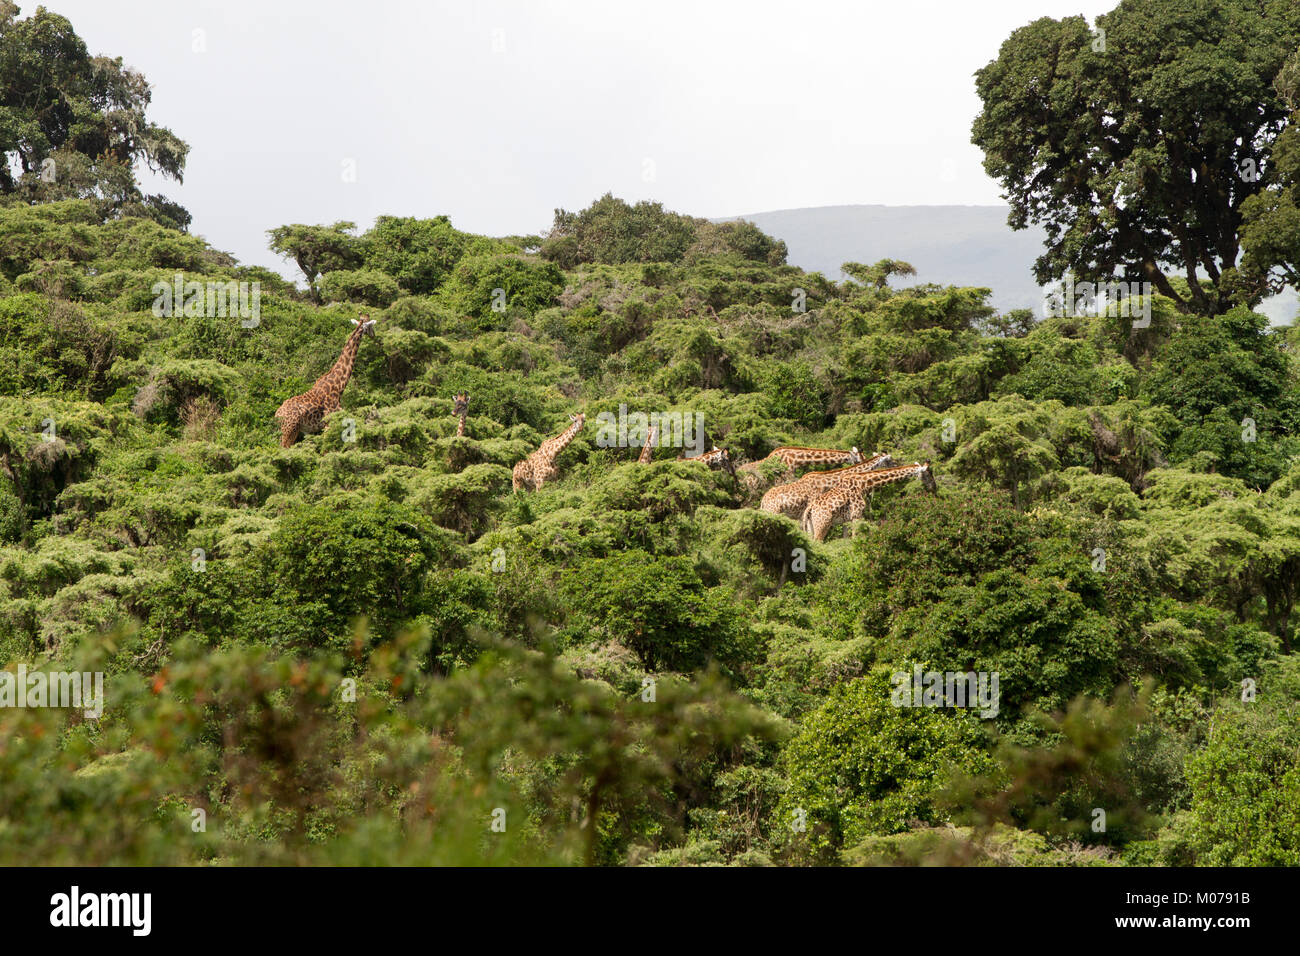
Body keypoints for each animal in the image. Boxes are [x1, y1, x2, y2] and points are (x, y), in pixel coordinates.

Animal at [273, 316, 376, 447]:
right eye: (371, 326)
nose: (373, 335)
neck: (338, 386)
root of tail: (277, 415)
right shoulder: (328, 423)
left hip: (284, 432)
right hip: (290, 430)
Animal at [759, 452, 893, 520]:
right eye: (888, 460)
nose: (895, 464)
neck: (825, 483)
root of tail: (763, 501)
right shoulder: (808, 508)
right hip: (773, 511)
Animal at [801, 461, 937, 542]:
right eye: (928, 473)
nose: (934, 487)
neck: (864, 484)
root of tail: (810, 509)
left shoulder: (846, 520)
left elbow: (846, 540)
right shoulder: (857, 515)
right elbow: (855, 539)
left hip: (810, 526)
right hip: (822, 524)